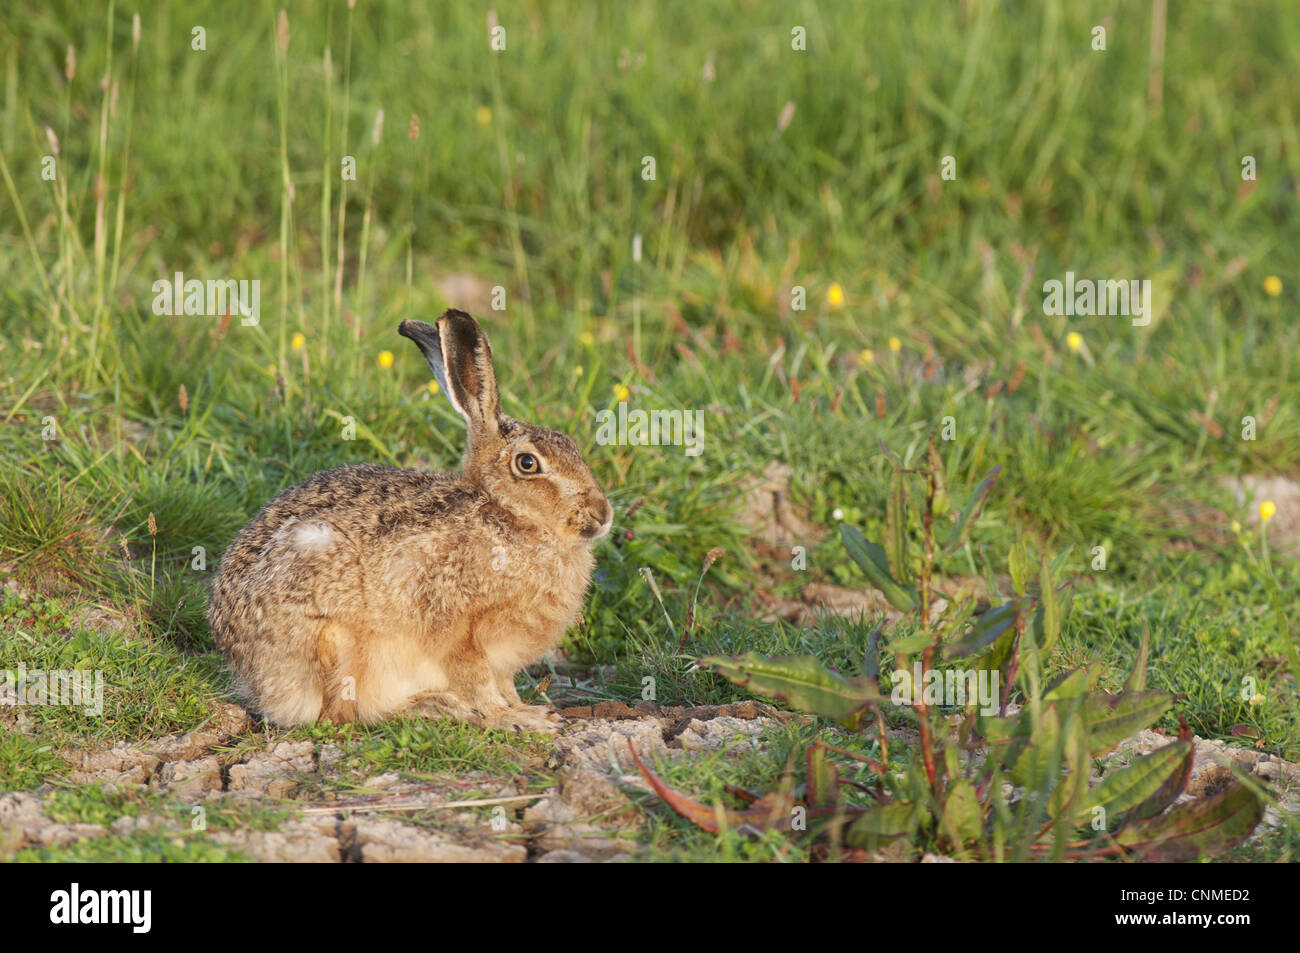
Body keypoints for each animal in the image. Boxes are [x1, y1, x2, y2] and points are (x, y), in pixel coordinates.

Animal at [207, 309, 612, 732]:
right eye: (528, 463)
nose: (602, 514)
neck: (507, 515)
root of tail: (254, 674)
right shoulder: (459, 629)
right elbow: (478, 680)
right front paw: (514, 719)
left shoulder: (501, 657)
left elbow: (503, 683)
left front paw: (526, 709)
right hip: (336, 643)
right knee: (339, 715)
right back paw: (437, 706)